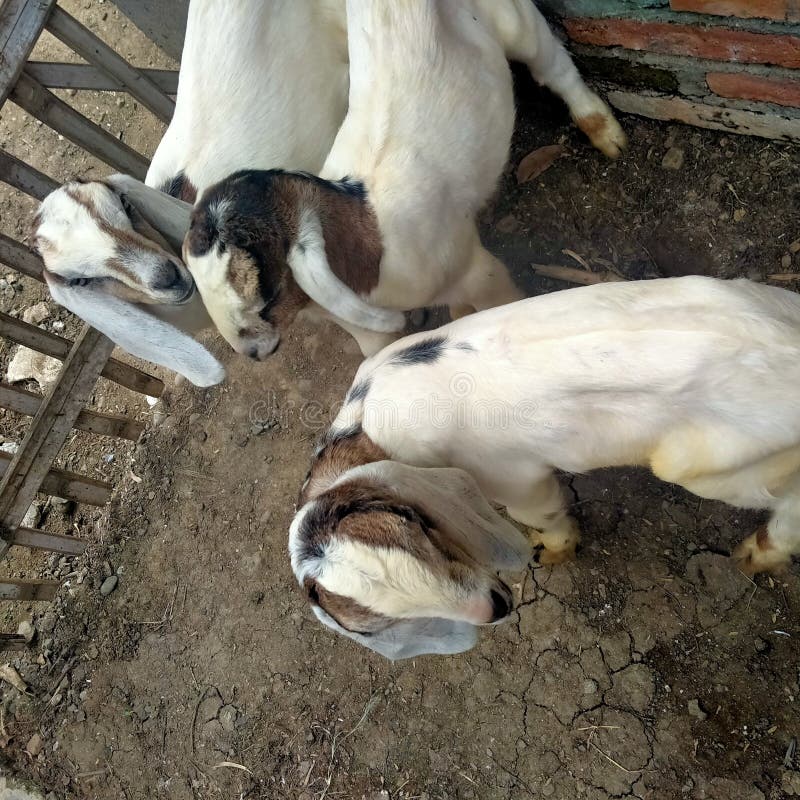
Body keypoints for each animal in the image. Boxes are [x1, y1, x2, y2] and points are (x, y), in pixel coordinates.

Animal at [183, 0, 626, 361]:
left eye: (267, 297)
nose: (252, 353)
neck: (370, 231)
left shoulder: (476, 271)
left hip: (510, 18)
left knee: (550, 61)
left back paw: (607, 135)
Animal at [290, 276, 800, 659]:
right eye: (382, 620)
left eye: (414, 524)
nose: (495, 607)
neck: (368, 425)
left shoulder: (513, 476)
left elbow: (543, 512)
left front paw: (554, 550)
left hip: (711, 465)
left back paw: (758, 552)